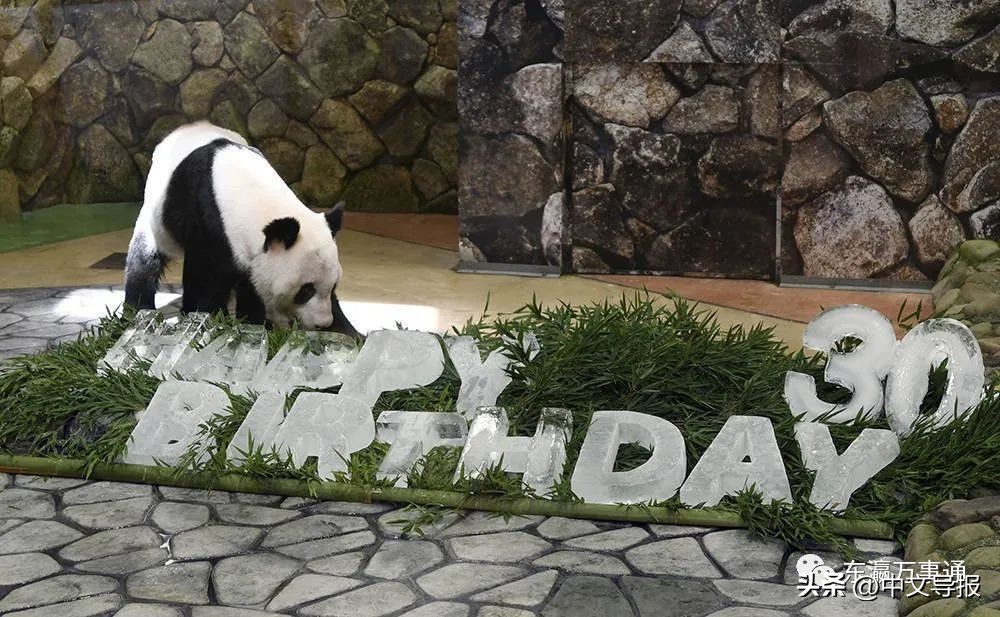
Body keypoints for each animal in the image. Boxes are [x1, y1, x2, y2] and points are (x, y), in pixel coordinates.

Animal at [124, 121, 357, 335]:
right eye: (306, 290)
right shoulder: (211, 223)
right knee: (144, 261)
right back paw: (137, 310)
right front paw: (214, 320)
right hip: (157, 220)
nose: (322, 324)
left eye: (334, 285)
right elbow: (207, 281)